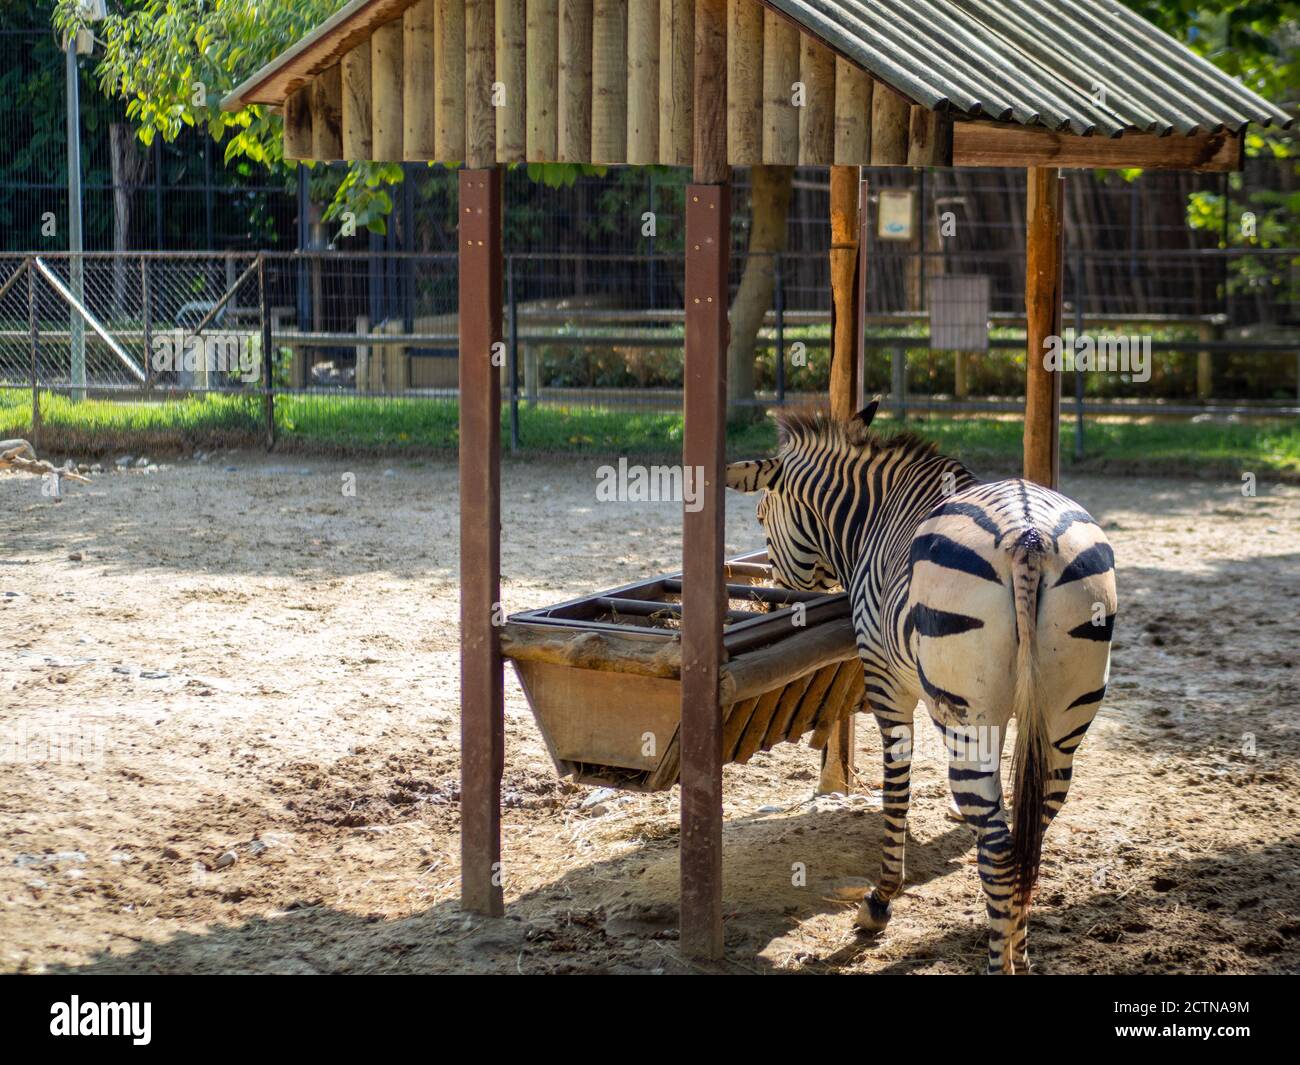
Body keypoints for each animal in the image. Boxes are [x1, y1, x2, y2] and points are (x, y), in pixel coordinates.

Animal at [726, 401, 1116, 974]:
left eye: (759, 518)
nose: (774, 595)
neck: (875, 515)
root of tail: (1028, 536)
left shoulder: (886, 683)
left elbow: (896, 789)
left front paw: (880, 902)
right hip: (1063, 719)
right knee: (1032, 831)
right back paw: (1020, 954)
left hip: (966, 722)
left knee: (999, 845)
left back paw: (998, 962)